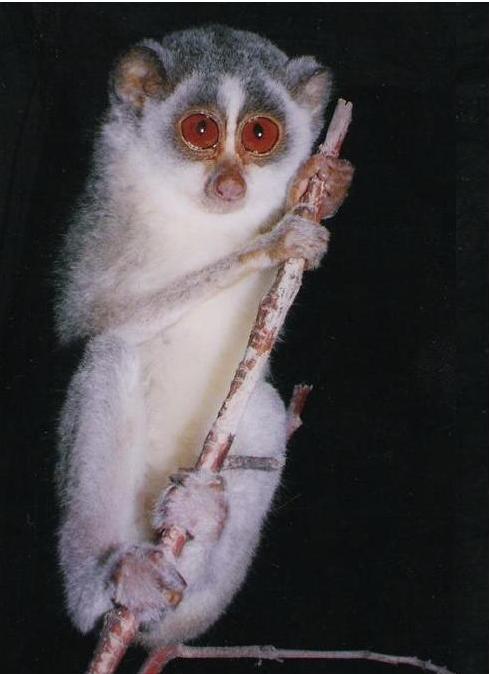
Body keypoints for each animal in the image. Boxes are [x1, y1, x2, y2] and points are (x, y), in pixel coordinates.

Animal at [55, 25, 354, 649]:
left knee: (264, 408)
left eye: (260, 135)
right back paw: (113, 578)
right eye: (201, 131)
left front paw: (324, 186)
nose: (232, 184)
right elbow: (96, 318)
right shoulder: (104, 211)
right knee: (110, 356)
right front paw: (271, 241)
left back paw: (198, 523)